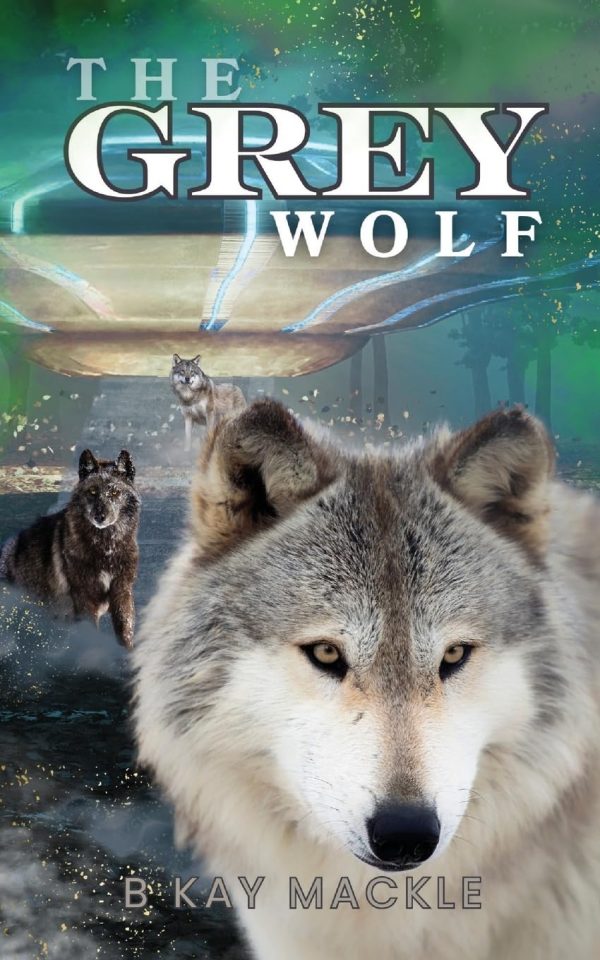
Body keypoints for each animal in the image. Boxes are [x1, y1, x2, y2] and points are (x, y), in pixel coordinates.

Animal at [1, 449, 140, 648]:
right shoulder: (84, 598)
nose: (100, 517)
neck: (107, 547)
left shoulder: (122, 591)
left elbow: (125, 631)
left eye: (115, 492)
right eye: (92, 491)